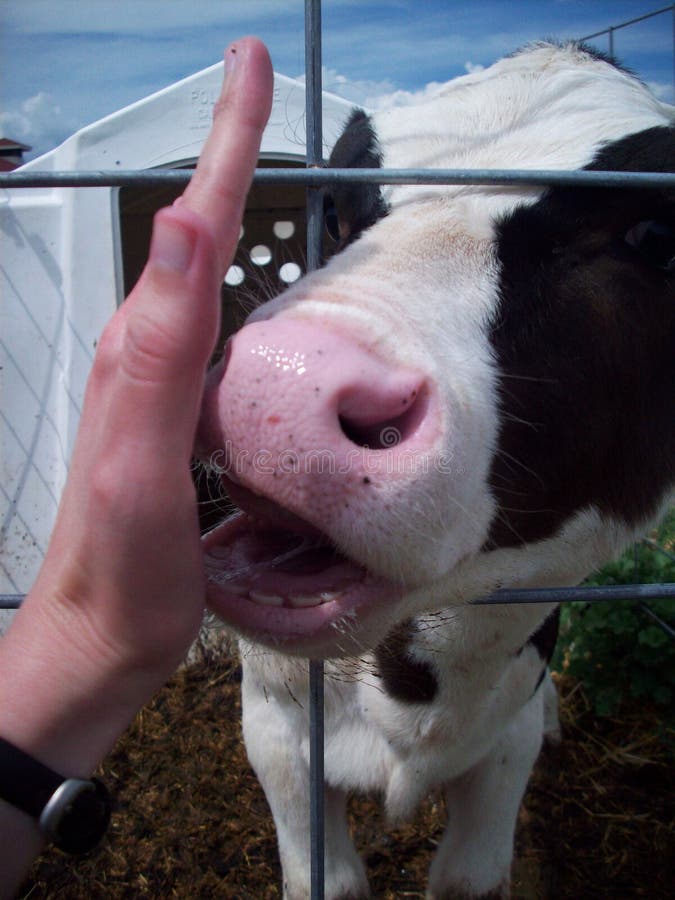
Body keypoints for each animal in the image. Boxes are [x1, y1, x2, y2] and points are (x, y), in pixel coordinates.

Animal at [196, 42, 675, 899]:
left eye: (656, 235)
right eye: (332, 211)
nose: (280, 380)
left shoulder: (503, 748)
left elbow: (469, 875)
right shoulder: (275, 729)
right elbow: (324, 879)